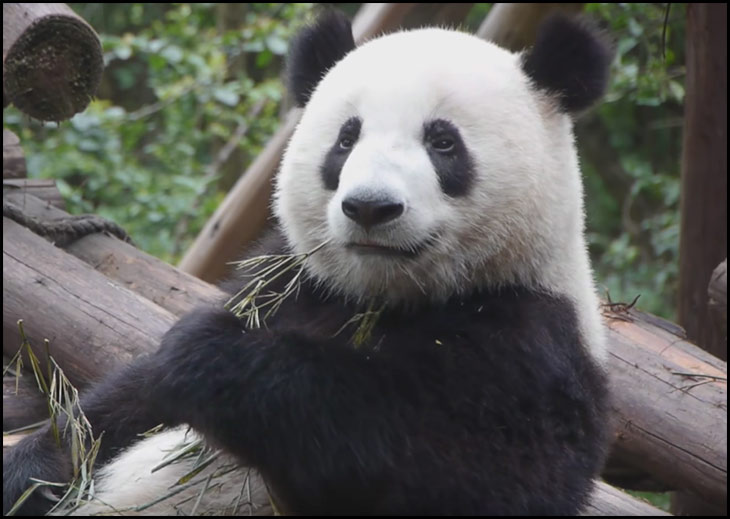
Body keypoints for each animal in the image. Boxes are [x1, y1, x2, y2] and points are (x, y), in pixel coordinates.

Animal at [3, 10, 613, 516]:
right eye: (346, 139)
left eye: (443, 142)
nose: (370, 207)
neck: (381, 296)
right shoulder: (289, 282)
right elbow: (119, 407)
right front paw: (31, 474)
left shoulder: (529, 345)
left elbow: (463, 465)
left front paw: (213, 357)